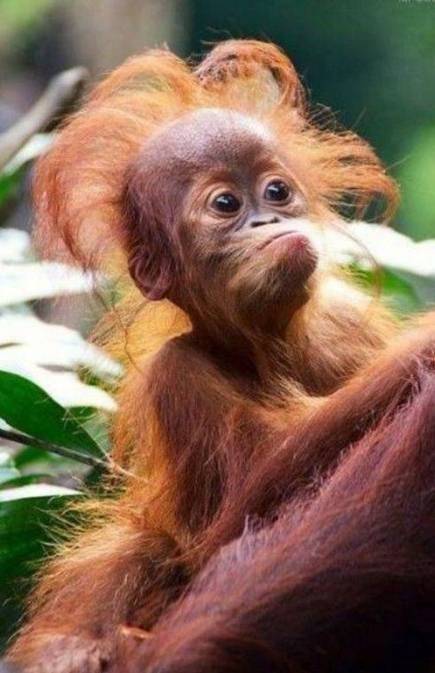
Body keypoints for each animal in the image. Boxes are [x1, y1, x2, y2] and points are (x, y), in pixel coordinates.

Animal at [6, 40, 435, 673]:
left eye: (277, 191)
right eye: (227, 204)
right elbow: (256, 481)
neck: (272, 344)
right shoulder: (176, 375)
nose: (270, 219)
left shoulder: (342, 321)